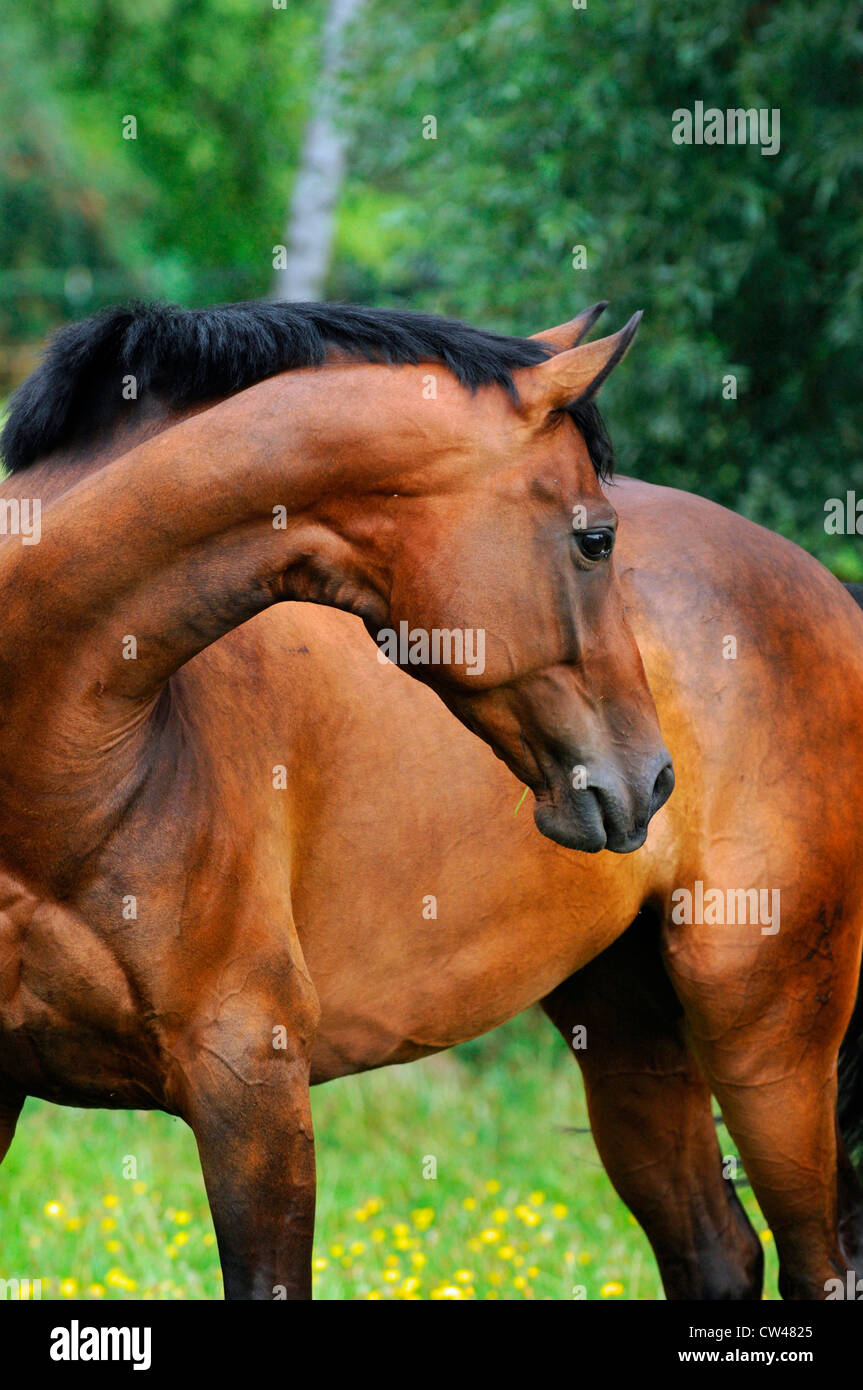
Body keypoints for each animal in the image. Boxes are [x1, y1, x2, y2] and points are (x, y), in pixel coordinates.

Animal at [1, 300, 862, 1302]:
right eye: (594, 539)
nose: (649, 779)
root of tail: (824, 590)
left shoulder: (249, 1087)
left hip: (766, 1034)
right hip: (625, 1021)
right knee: (716, 1252)